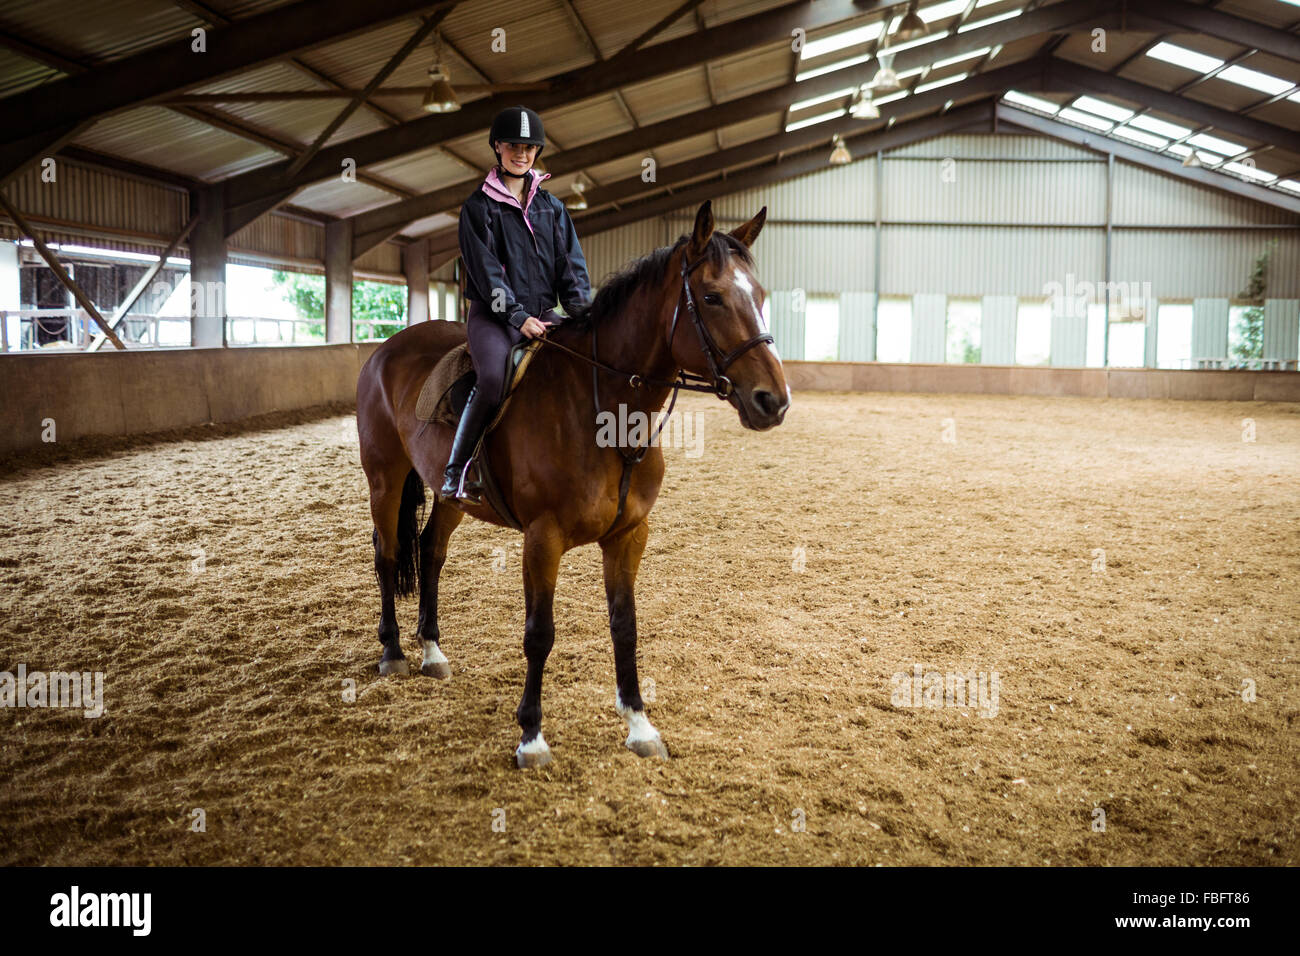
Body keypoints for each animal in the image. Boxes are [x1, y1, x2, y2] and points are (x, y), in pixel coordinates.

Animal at [355, 200, 790, 768]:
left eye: (758, 296)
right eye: (713, 297)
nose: (773, 401)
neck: (601, 407)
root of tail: (387, 349)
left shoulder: (628, 536)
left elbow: (625, 626)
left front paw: (639, 725)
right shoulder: (543, 539)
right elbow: (539, 634)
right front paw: (531, 736)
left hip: (448, 495)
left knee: (430, 550)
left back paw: (432, 650)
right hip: (384, 478)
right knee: (386, 554)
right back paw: (392, 651)